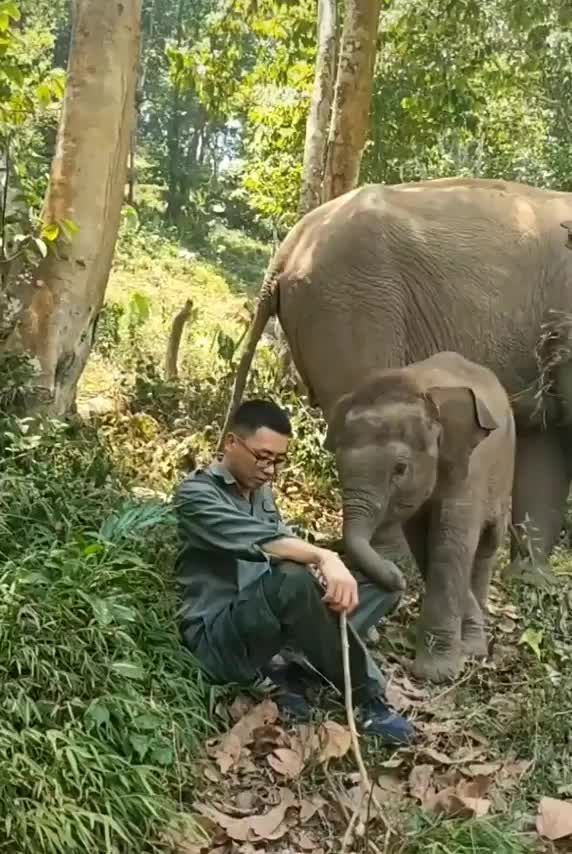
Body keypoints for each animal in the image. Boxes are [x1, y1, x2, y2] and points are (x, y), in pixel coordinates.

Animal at [323, 350, 515, 682]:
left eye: (400, 468)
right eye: (338, 462)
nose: (397, 579)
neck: (418, 388)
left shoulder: (470, 472)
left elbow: (449, 546)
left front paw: (436, 674)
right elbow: (424, 545)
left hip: (507, 466)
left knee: (489, 543)